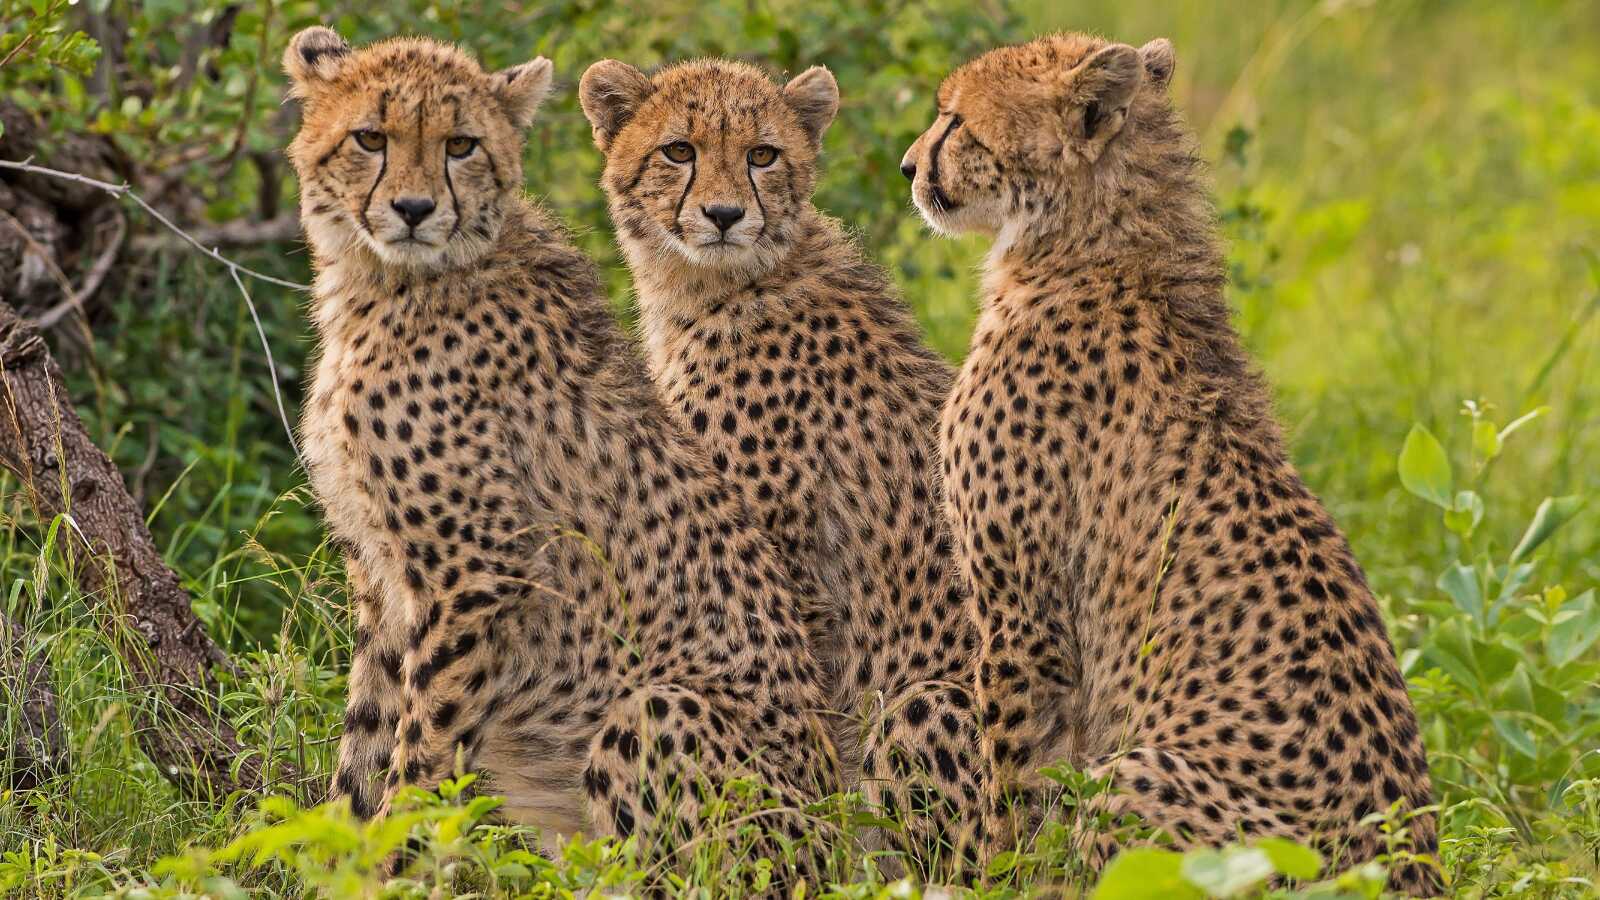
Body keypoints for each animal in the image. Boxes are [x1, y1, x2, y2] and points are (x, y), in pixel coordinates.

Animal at [282, 27, 839, 879]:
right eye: (369, 138)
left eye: (461, 145)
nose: (413, 210)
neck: (385, 279)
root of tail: (841, 842)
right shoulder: (382, 582)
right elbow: (363, 747)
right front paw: (336, 865)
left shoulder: (476, 576)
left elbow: (421, 754)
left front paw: (396, 871)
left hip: (659, 712)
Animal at [579, 57, 985, 876]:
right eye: (678, 151)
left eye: (763, 155)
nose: (725, 214)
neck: (729, 284)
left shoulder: (784, 576)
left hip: (933, 704)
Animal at [899, 33, 1440, 893]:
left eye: (955, 120)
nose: (908, 166)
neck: (1093, 244)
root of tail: (1408, 867)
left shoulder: (1026, 617)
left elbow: (1013, 782)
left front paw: (996, 877)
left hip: (1138, 780)